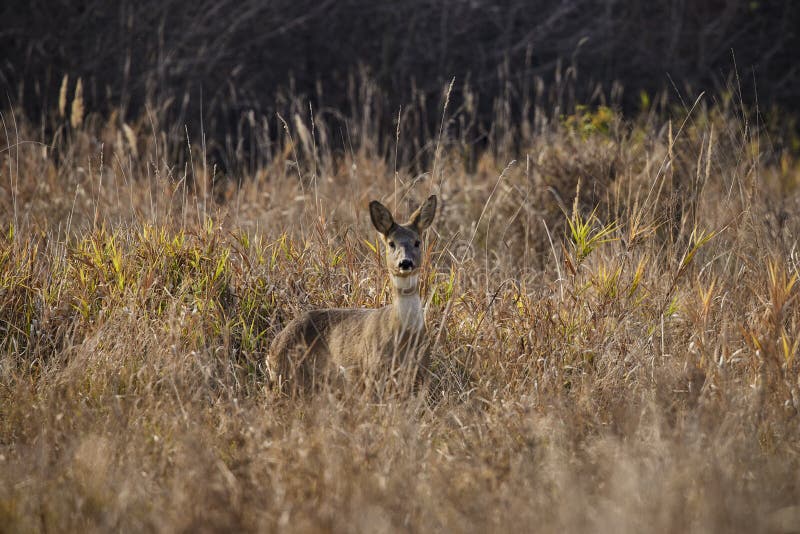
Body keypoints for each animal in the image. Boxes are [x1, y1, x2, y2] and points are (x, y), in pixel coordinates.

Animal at [267, 195, 437, 395]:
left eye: (417, 242)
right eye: (391, 243)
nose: (405, 262)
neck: (404, 333)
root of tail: (272, 348)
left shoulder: (422, 370)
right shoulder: (371, 371)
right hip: (287, 376)